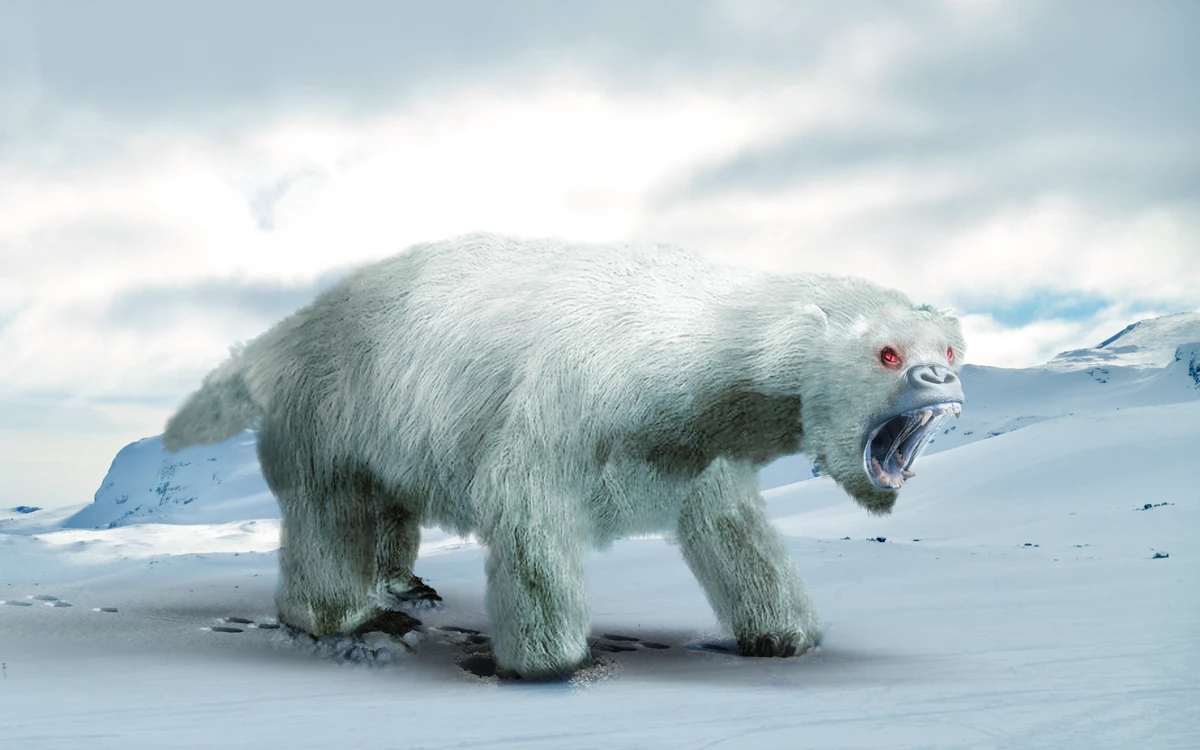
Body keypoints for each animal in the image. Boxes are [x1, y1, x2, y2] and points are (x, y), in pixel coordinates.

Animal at [163, 233, 966, 679]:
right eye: (887, 352)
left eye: (950, 348)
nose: (944, 380)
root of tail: (286, 331)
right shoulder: (565, 407)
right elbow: (531, 528)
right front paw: (547, 661)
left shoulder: (697, 454)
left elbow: (737, 537)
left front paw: (784, 633)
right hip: (338, 408)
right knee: (331, 515)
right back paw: (347, 617)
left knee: (386, 508)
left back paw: (406, 586)